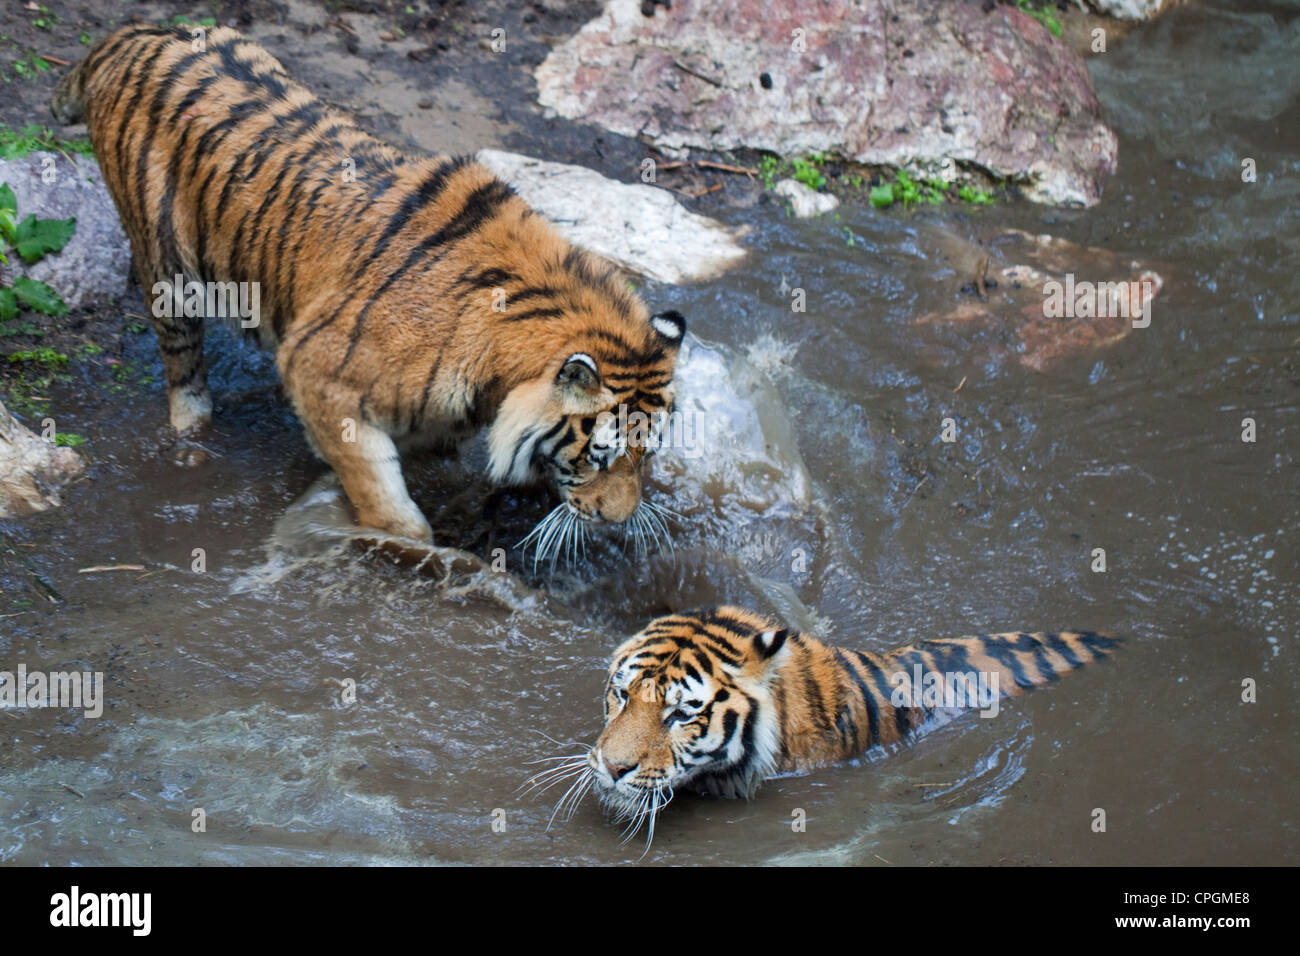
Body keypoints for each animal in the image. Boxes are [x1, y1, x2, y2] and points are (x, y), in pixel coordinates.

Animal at [51, 24, 686, 546]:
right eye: (597, 457)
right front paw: (405, 542)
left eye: (647, 457)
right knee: (182, 363)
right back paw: (193, 437)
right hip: (167, 267)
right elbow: (382, 492)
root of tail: (134, 36)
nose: (618, 521)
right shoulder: (317, 368)